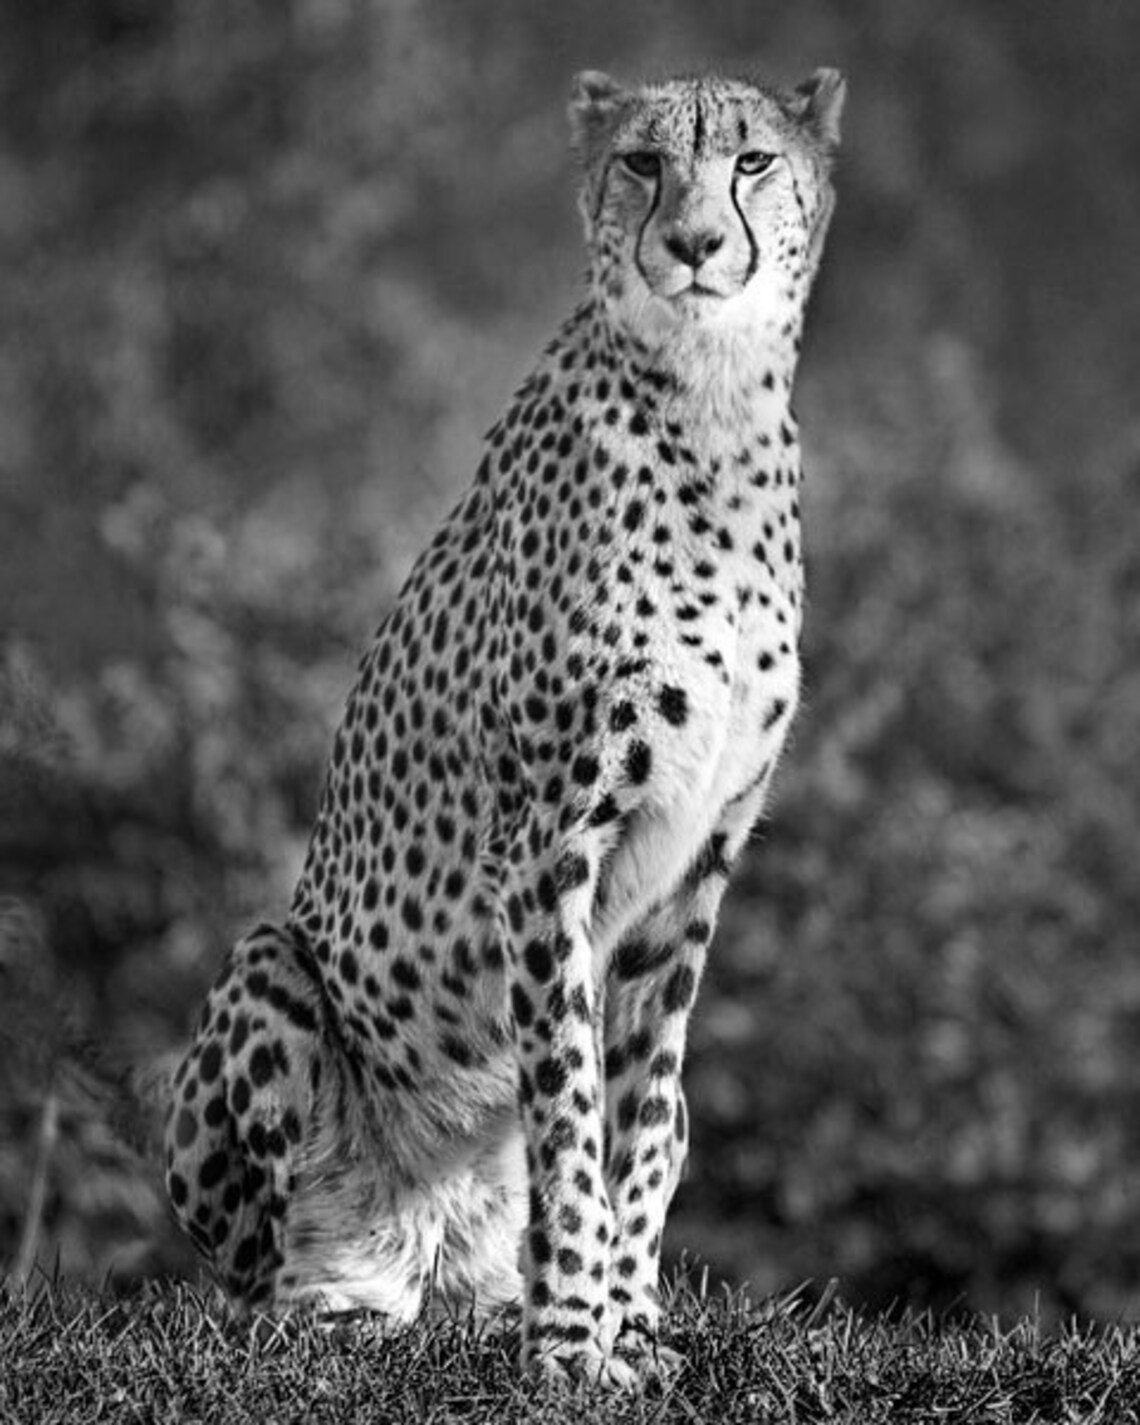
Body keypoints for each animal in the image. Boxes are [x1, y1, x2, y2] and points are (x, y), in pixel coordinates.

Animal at [164, 64, 846, 1388]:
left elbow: (639, 1114)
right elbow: (569, 1106)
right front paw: (575, 1341)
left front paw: (630, 1326)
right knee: (253, 1295)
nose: (694, 244)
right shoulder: (547, 842)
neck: (715, 401)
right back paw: (336, 1311)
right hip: (269, 963)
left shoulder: (696, 864)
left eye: (750, 162)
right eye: (642, 162)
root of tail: (417, 1271)